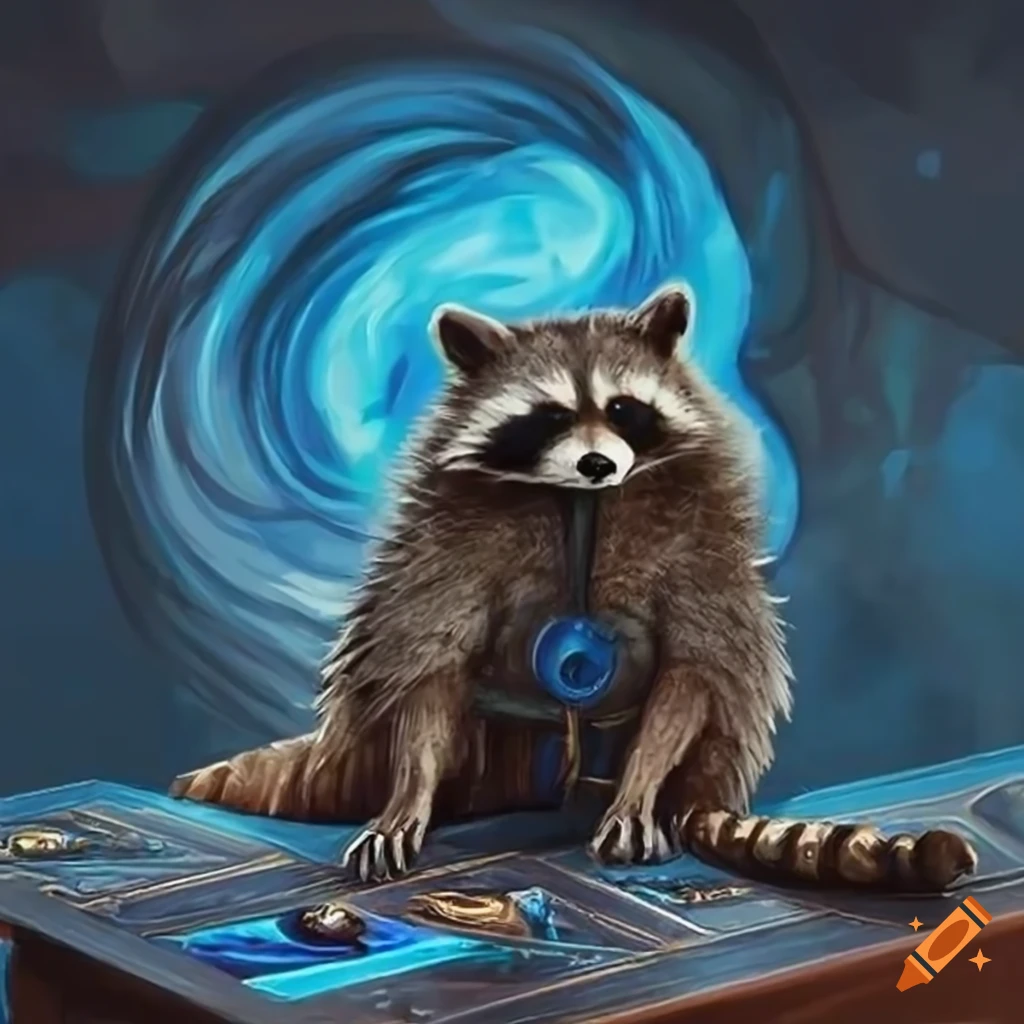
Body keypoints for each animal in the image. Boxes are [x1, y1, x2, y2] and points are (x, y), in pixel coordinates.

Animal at [171, 284, 977, 892]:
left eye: (624, 409)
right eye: (550, 416)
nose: (596, 464)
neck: (577, 501)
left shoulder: (701, 541)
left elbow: (691, 670)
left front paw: (637, 791)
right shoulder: (450, 541)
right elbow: (432, 666)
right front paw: (409, 795)